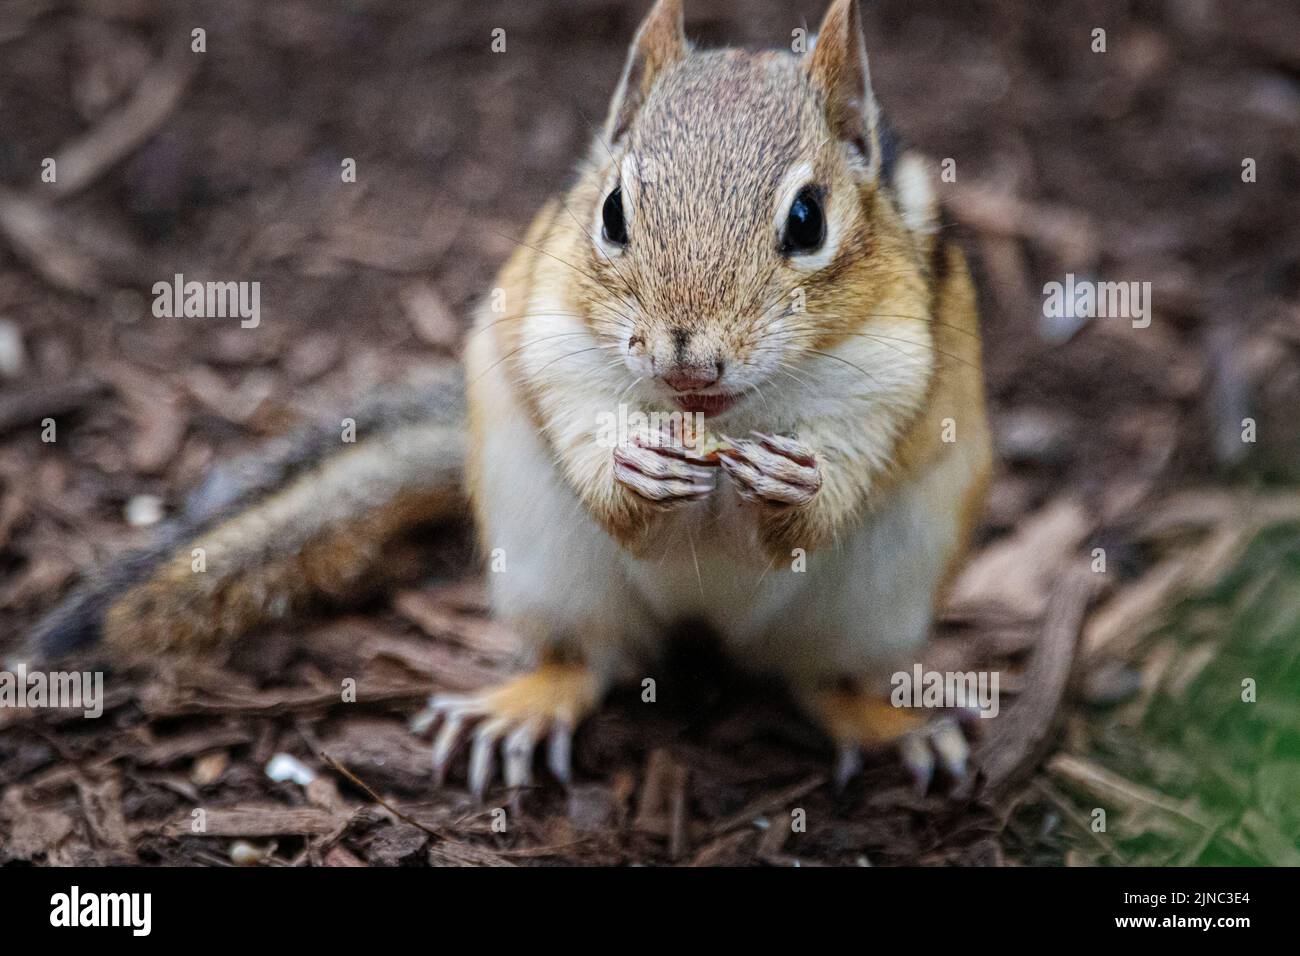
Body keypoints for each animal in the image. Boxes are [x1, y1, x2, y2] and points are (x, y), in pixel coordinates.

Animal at [25, 0, 991, 798]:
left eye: (808, 220)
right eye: (610, 212)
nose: (687, 353)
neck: (714, 423)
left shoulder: (892, 373)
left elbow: (839, 477)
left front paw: (796, 481)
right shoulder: (553, 339)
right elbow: (594, 448)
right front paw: (634, 466)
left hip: (879, 596)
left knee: (818, 680)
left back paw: (888, 727)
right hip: (545, 559)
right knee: (589, 659)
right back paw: (524, 707)